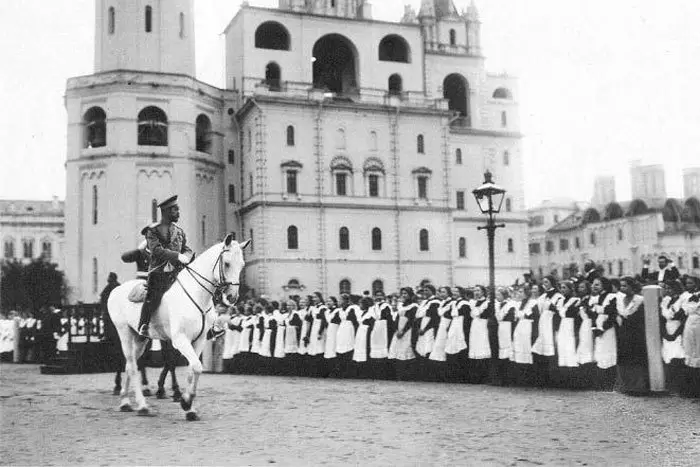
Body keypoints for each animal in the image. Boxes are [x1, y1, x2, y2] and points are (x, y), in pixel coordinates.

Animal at [108, 236, 250, 422]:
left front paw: (189, 407)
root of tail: (116, 289)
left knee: (129, 365)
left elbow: (193, 369)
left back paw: (125, 401)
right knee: (131, 366)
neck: (196, 294)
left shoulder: (199, 341)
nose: (233, 297)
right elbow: (196, 367)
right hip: (124, 332)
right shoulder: (180, 340)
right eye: (226, 263)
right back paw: (142, 405)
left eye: (242, 264)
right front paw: (186, 402)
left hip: (140, 338)